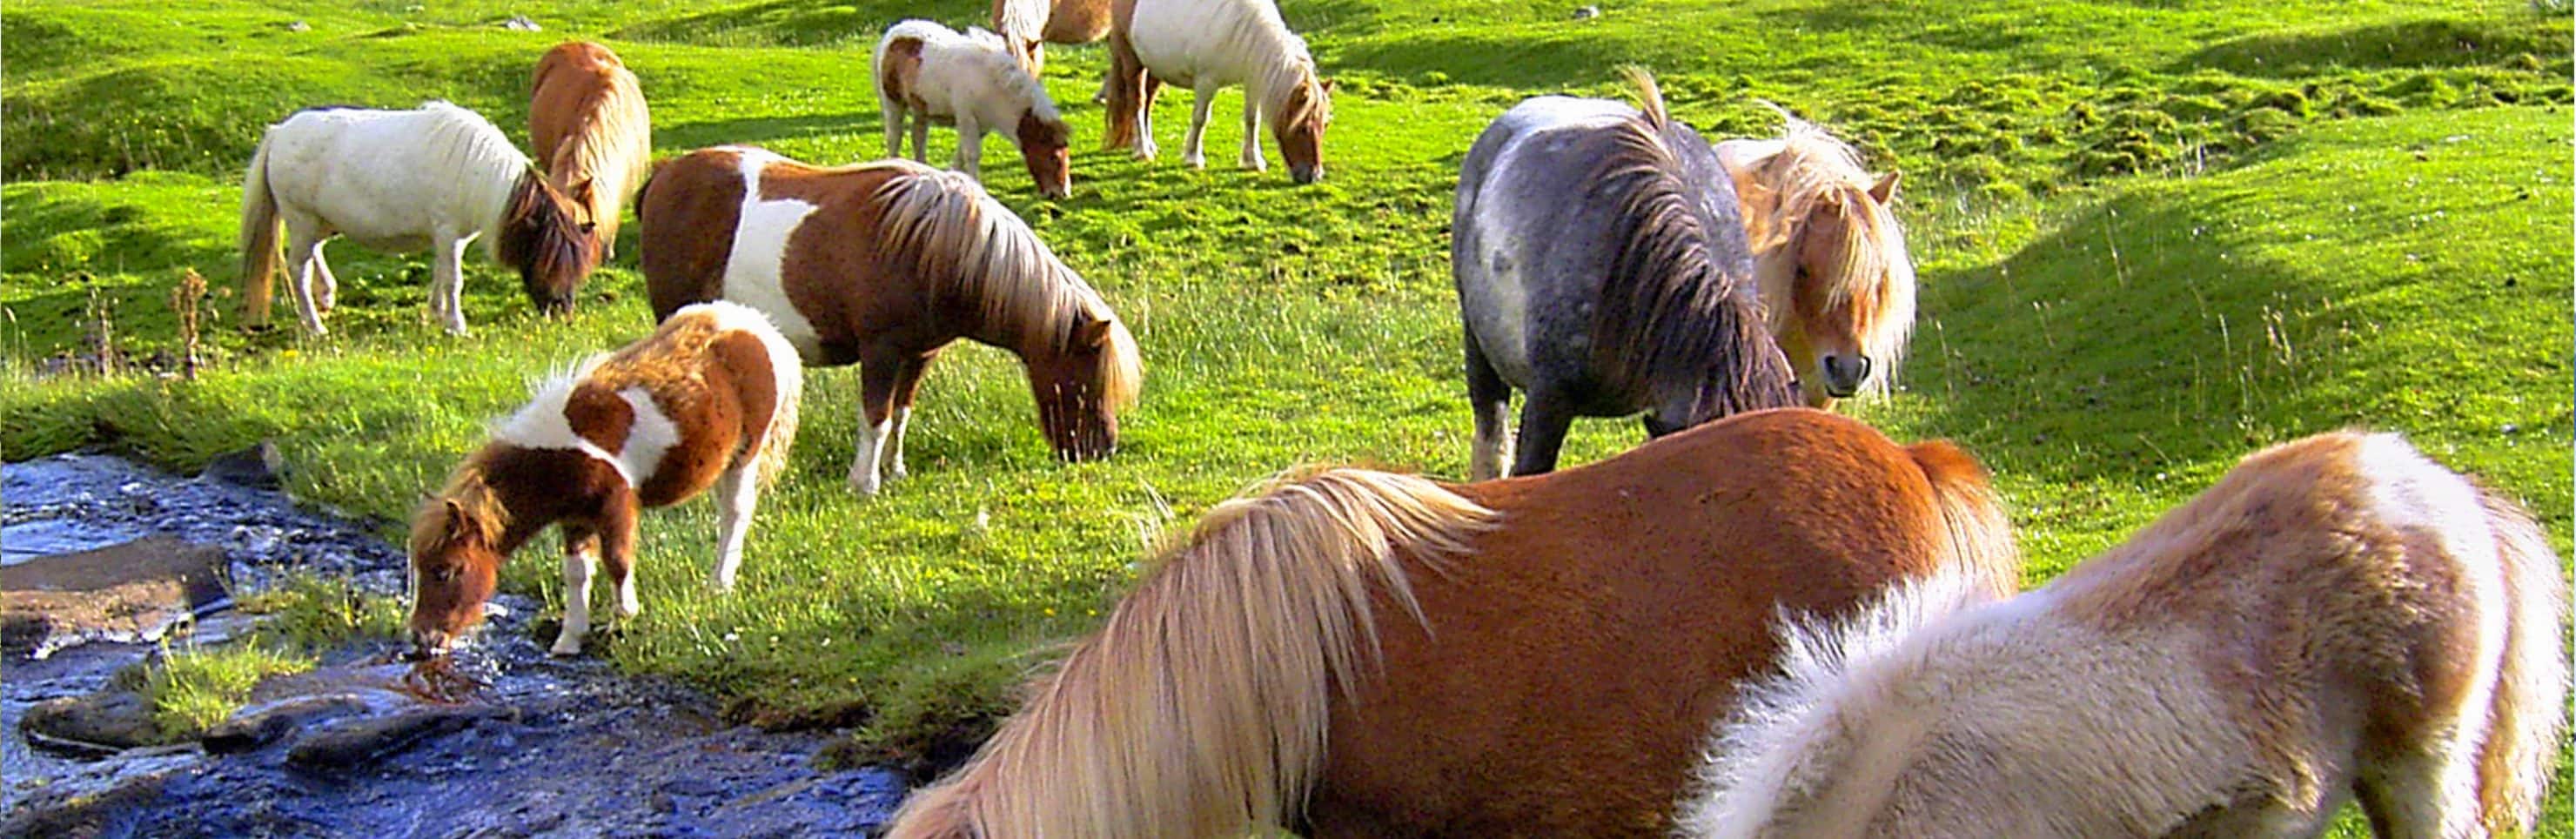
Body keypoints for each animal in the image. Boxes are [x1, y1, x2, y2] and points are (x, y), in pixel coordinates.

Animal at [238, 101, 599, 336]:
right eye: (547, 264)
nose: (562, 314)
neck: (477, 170)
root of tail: (279, 133)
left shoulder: (449, 239)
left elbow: (441, 275)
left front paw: (436, 314)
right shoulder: (447, 232)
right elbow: (454, 280)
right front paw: (456, 325)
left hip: (319, 223)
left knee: (314, 253)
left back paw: (326, 295)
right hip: (302, 220)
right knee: (299, 269)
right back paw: (314, 325)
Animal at [407, 301, 802, 659]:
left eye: (445, 571)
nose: (423, 640)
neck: (560, 453)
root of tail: (763, 330)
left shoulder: (617, 503)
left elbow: (618, 561)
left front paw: (621, 620)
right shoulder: (575, 518)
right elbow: (577, 572)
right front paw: (569, 639)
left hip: (746, 454)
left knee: (735, 514)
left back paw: (719, 585)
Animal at [636, 147, 1143, 494]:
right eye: (1086, 381)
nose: (1101, 450)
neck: (936, 247)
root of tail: (665, 174)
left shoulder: (920, 354)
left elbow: (901, 414)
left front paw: (894, 470)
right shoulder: (880, 352)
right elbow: (876, 418)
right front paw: (864, 482)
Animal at [873, 20, 1074, 200]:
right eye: (1054, 157)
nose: (1062, 194)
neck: (992, 84)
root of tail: (892, 33)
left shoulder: (981, 126)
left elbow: (961, 155)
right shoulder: (967, 119)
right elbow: (971, 155)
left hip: (922, 109)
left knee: (918, 138)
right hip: (893, 103)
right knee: (894, 138)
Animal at [1102, 0, 1334, 183]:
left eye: (1324, 126)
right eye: (1303, 127)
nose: (1313, 176)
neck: (1241, 27)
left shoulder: (1251, 82)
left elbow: (1252, 120)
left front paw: (1252, 160)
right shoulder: (1206, 82)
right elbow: (1200, 119)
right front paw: (1193, 157)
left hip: (1155, 67)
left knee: (1148, 102)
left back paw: (1148, 145)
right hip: (1132, 59)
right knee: (1138, 101)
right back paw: (1143, 150)